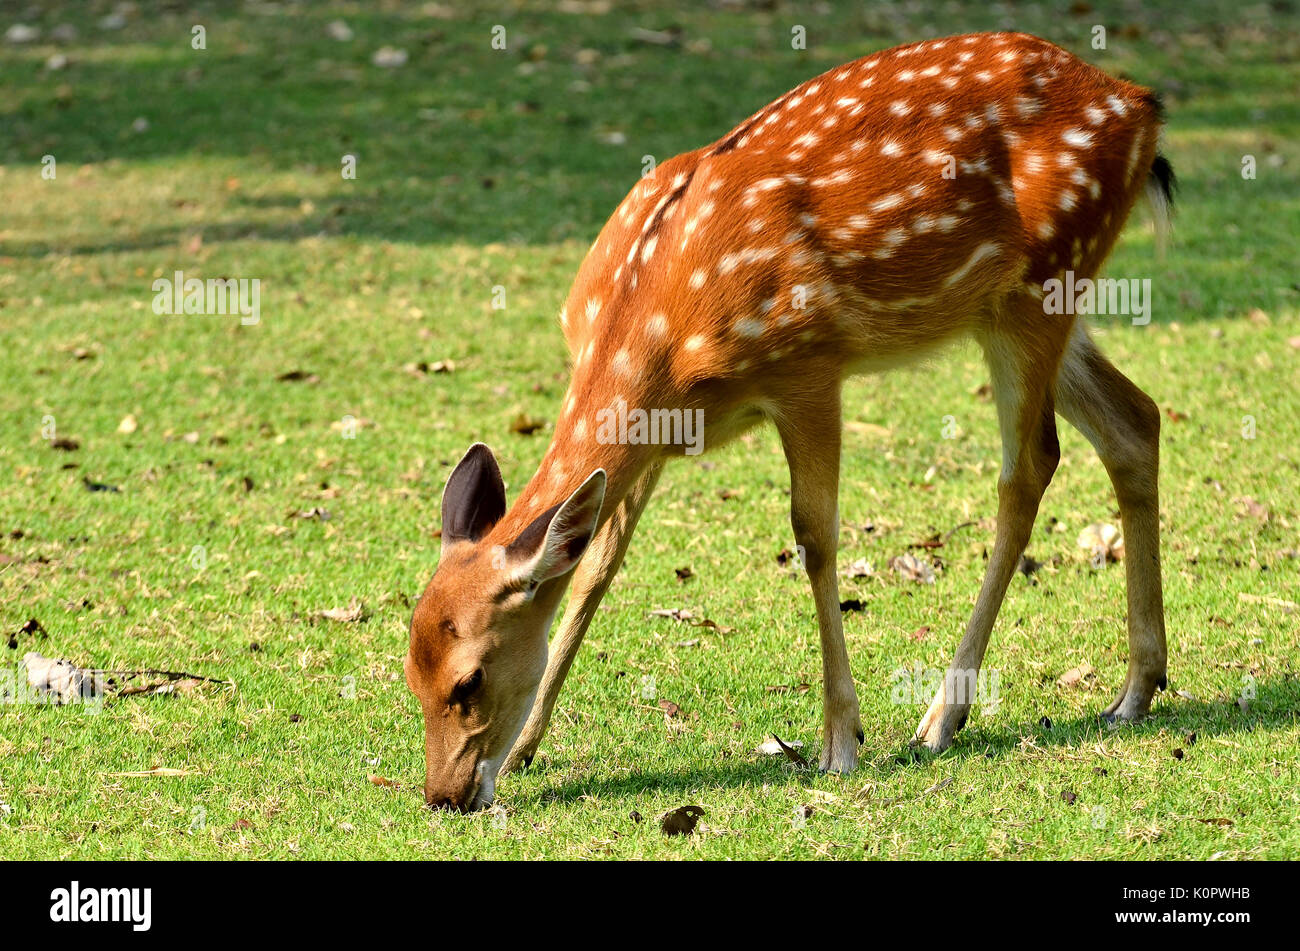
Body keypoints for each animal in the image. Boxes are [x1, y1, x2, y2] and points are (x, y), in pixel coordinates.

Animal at [405, 31, 1174, 811]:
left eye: (468, 681)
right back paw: (1134, 691)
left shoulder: (809, 367)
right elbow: (597, 564)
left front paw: (840, 742)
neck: (659, 333)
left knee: (1030, 468)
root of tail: (1140, 105)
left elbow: (815, 537)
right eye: (411, 670)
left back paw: (941, 717)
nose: (444, 794)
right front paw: (527, 747)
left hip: (1042, 281)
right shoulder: (660, 435)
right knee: (1134, 421)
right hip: (1033, 305)